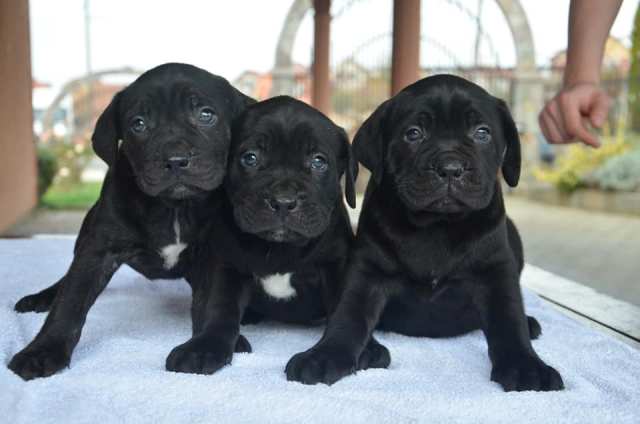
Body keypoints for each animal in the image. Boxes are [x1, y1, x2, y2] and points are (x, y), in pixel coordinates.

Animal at [8, 63, 252, 380]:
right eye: (138, 124)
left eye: (206, 115)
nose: (175, 160)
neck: (175, 207)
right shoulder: (97, 250)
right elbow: (69, 302)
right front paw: (42, 351)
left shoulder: (215, 255)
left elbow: (212, 302)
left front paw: (205, 347)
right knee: (65, 281)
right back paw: (42, 297)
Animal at [164, 97, 390, 374]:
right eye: (250, 158)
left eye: (318, 162)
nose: (283, 201)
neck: (280, 248)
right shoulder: (227, 266)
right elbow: (219, 308)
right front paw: (204, 347)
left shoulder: (335, 266)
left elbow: (346, 309)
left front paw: (361, 349)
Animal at [288, 75, 564, 390]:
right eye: (413, 133)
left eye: (482, 133)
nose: (450, 168)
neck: (437, 225)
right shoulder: (367, 271)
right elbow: (348, 315)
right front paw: (324, 356)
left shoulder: (496, 271)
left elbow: (508, 318)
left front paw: (526, 366)